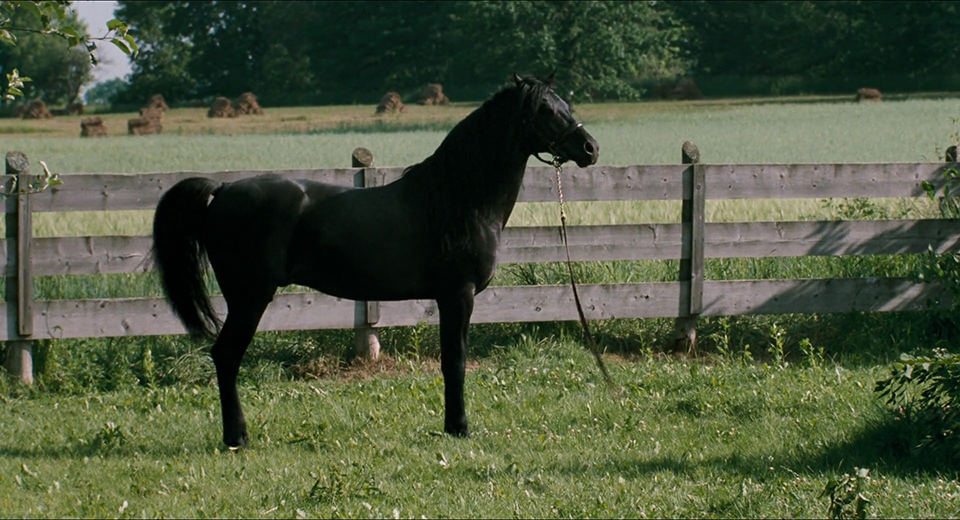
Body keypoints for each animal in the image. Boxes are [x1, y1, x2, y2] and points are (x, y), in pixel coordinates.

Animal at [152, 73, 600, 448]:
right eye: (545, 110)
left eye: (565, 105)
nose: (591, 148)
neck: (457, 199)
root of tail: (223, 189)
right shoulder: (458, 295)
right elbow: (454, 361)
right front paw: (458, 427)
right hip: (249, 298)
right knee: (226, 356)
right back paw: (238, 438)